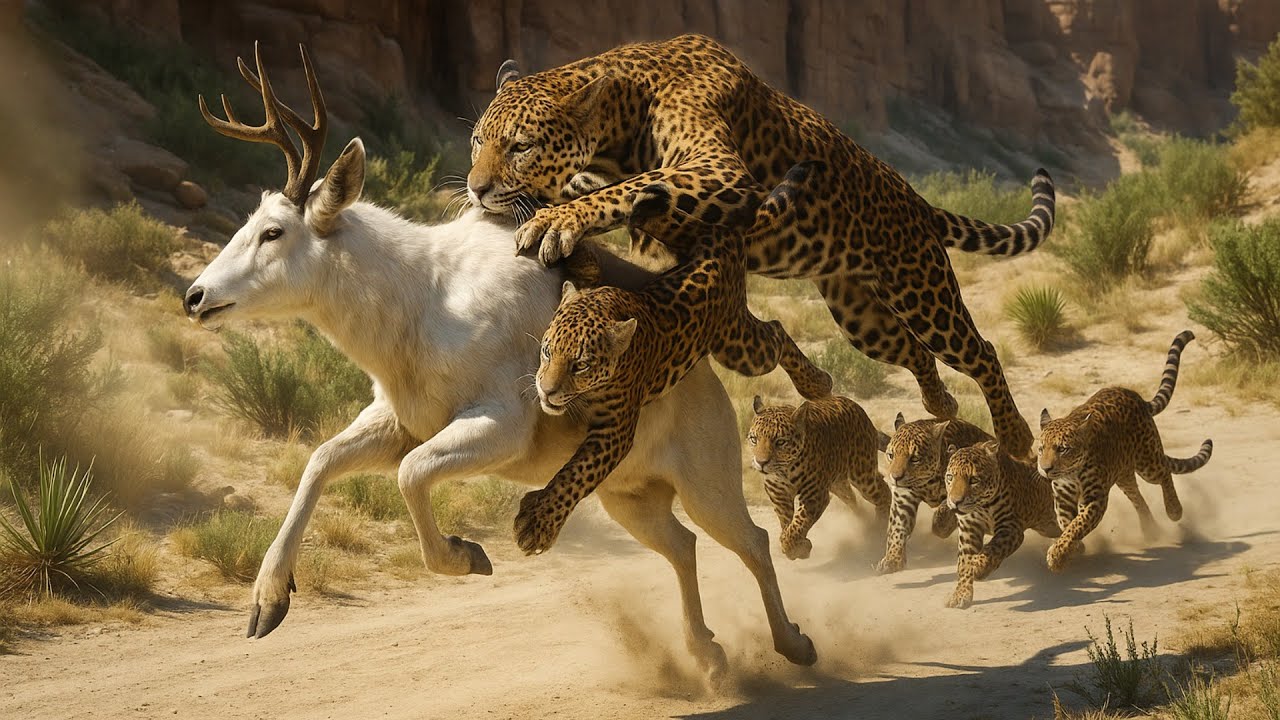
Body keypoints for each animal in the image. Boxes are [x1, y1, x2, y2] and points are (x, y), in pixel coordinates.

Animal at [181, 44, 818, 681]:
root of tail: (717, 395)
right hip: (628, 497)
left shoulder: (498, 425)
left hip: (707, 485)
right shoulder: (398, 421)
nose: (196, 296)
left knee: (755, 542)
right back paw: (707, 655)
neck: (424, 297)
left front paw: (470, 556)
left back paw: (794, 644)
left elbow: (411, 473)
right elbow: (320, 460)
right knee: (685, 546)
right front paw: (267, 605)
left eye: (272, 231)